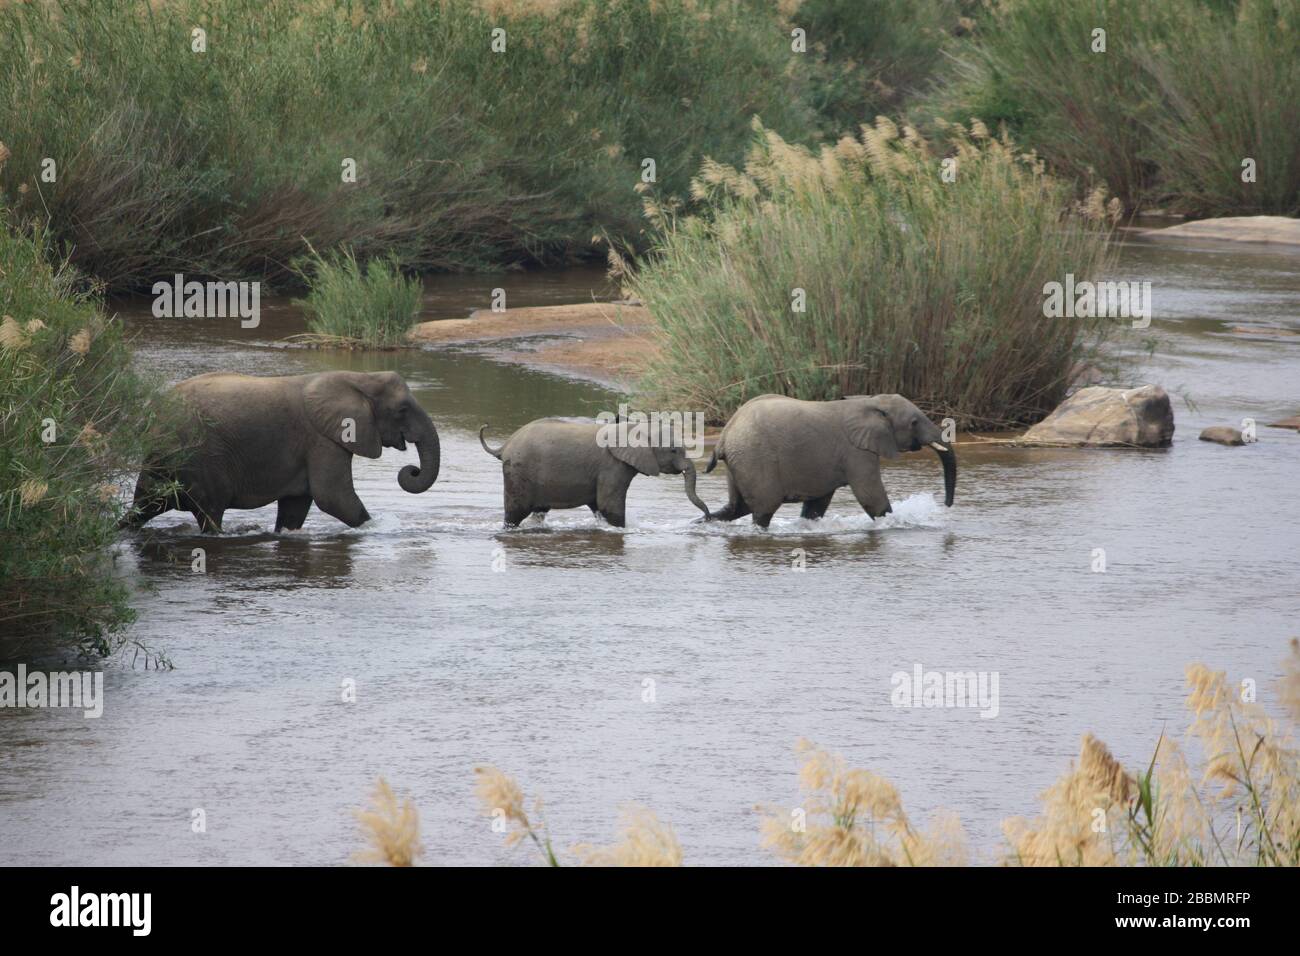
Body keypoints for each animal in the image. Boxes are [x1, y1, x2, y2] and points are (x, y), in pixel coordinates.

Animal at [121, 370, 440, 532]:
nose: (411, 470)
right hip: (199, 455)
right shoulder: (322, 438)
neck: (358, 377)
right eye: (402, 409)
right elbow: (333, 498)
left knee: (143, 506)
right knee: (210, 511)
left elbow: (296, 506)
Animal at [478, 418, 711, 527]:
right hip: (518, 471)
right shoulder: (611, 466)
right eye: (673, 450)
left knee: (539, 512)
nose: (706, 518)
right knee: (515, 513)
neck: (634, 427)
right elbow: (610, 506)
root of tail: (504, 446)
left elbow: (600, 506)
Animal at [703, 394, 956, 528]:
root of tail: (724, 434)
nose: (947, 505)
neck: (871, 401)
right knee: (763, 510)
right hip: (754, 458)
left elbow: (816, 505)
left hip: (739, 461)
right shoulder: (856, 451)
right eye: (914, 423)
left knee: (736, 508)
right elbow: (871, 496)